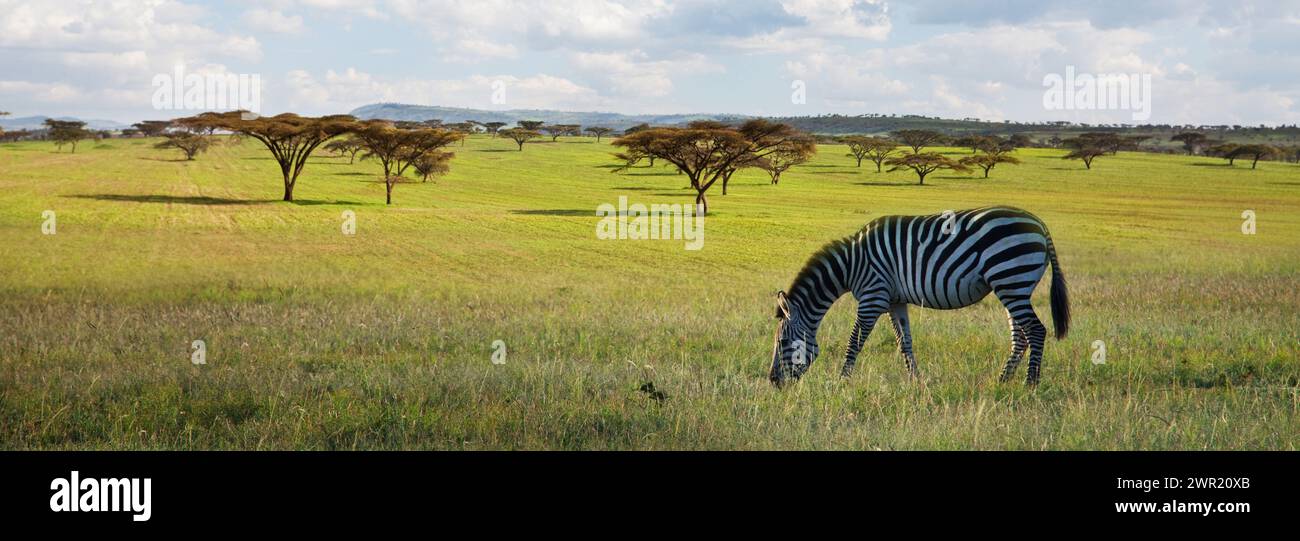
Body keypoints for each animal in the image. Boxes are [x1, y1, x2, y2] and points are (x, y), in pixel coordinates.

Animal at [769, 206, 1069, 386]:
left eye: (782, 341)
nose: (772, 381)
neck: (851, 265)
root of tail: (1039, 223)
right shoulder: (894, 300)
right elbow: (905, 342)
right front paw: (916, 381)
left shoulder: (872, 297)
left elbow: (854, 342)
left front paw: (842, 381)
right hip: (1012, 286)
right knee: (1021, 336)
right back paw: (1002, 381)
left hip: (1011, 277)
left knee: (1036, 330)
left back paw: (1030, 384)